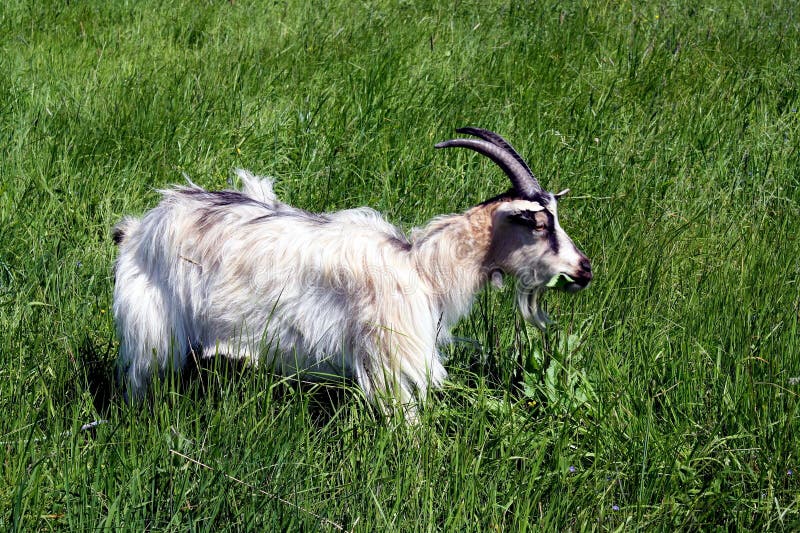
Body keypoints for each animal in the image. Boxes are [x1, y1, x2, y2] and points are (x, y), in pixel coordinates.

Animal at [113, 127, 592, 416]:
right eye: (539, 224)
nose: (584, 269)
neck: (422, 268)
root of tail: (140, 227)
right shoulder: (391, 359)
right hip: (152, 325)